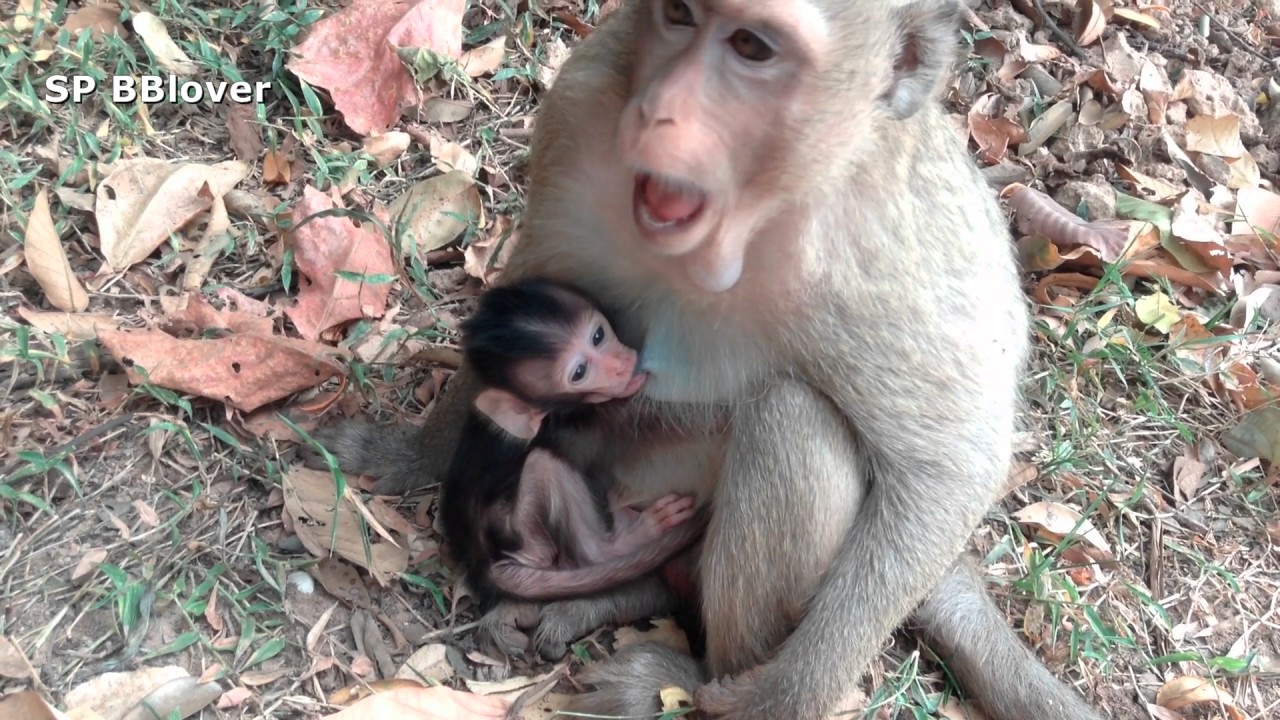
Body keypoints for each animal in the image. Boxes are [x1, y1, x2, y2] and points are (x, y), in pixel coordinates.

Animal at [441, 278, 707, 610]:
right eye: (580, 372)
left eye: (598, 336)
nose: (621, 365)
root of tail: (478, 560)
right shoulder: (601, 412)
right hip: (519, 529)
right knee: (544, 469)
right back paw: (618, 544)